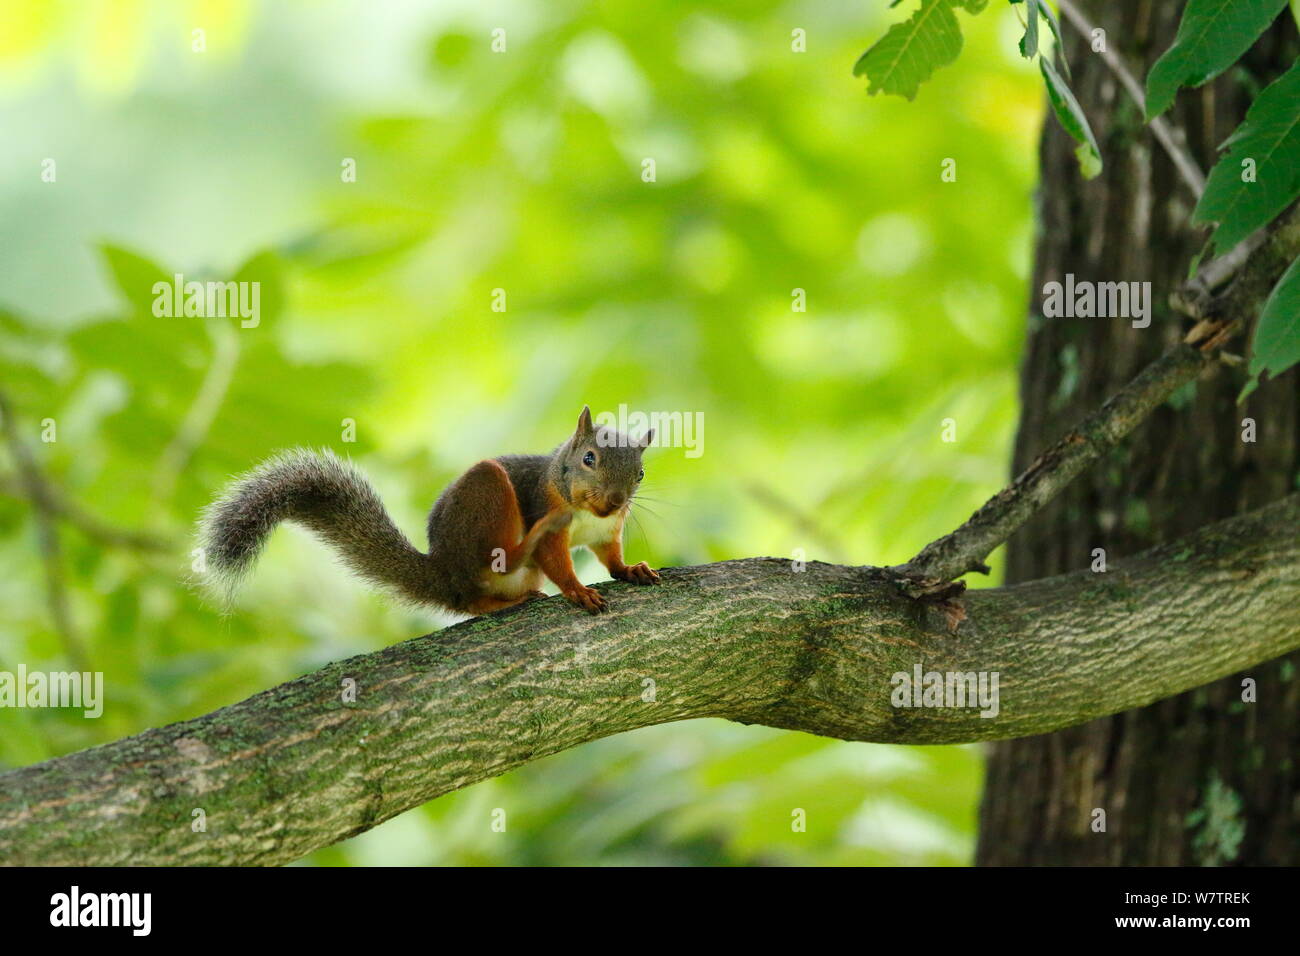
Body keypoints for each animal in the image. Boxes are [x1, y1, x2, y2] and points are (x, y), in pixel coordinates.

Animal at [199, 406, 659, 616]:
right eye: (588, 458)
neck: (587, 513)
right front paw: (578, 589)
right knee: (482, 589)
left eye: (640, 474)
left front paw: (630, 569)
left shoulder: (607, 531)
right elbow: (556, 559)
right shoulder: (543, 503)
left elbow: (610, 555)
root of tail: (445, 574)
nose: (615, 501)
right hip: (486, 493)